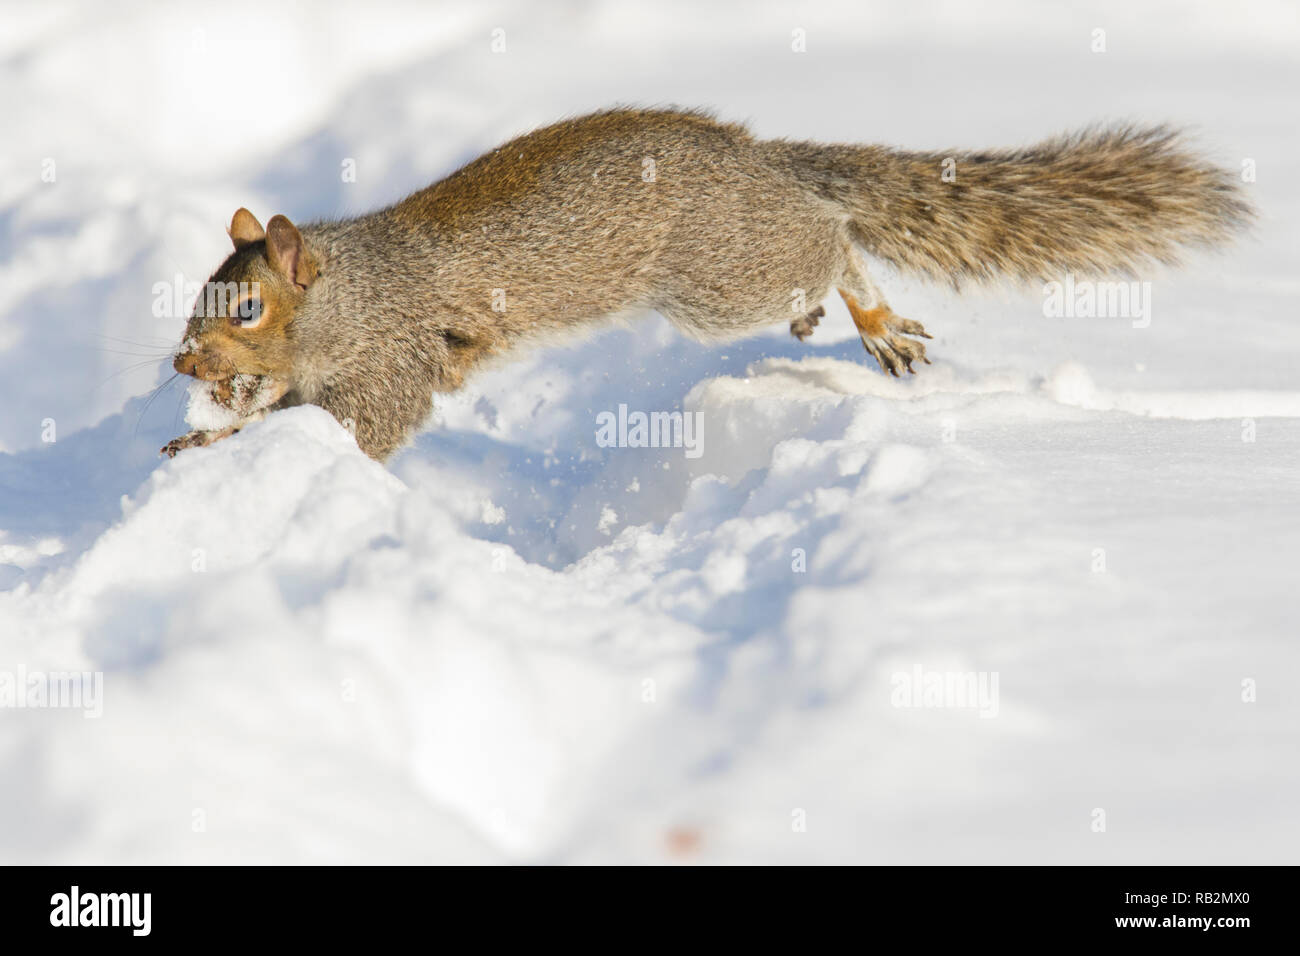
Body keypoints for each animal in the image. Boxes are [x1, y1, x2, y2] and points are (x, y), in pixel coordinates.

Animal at [163, 107, 1252, 461]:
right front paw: (201, 429)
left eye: (249, 306)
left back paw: (868, 313)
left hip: (721, 276)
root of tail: (763, 161)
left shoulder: (396, 356)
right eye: (197, 302)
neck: (349, 292)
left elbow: (356, 422)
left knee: (834, 240)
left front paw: (215, 444)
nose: (180, 363)